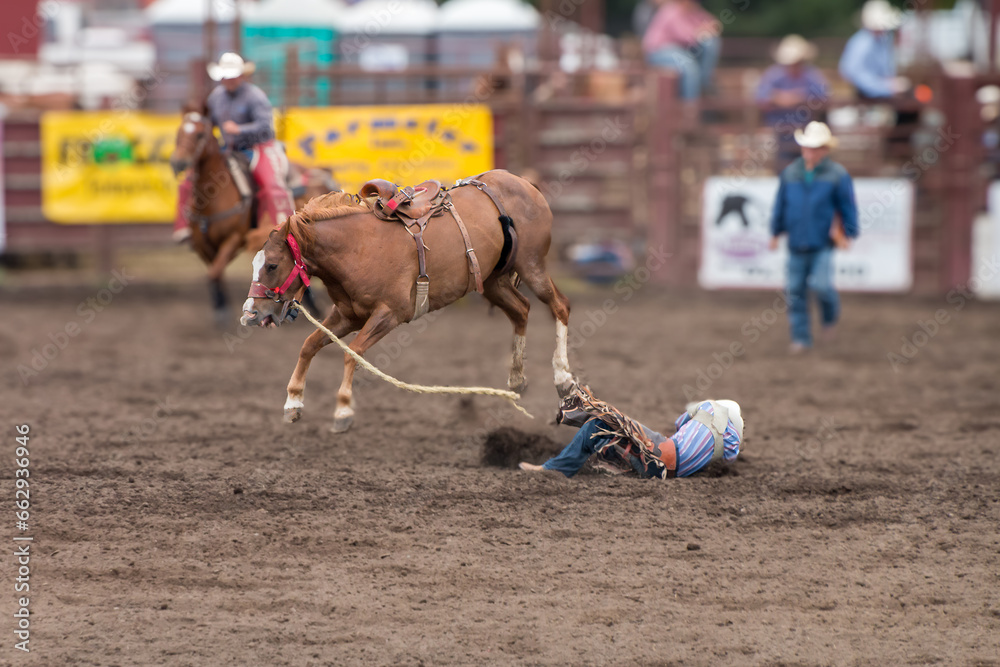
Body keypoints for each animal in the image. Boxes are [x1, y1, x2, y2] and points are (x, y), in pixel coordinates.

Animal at [169, 103, 332, 321]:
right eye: (179, 132)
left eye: (200, 134)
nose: (178, 163)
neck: (214, 194)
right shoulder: (203, 245)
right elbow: (215, 273)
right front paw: (221, 307)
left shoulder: (235, 238)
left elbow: (215, 271)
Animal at [239, 169, 573, 433]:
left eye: (272, 265)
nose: (250, 314)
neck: (357, 247)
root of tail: (525, 183)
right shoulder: (348, 315)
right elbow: (309, 345)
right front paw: (293, 403)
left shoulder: (389, 314)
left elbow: (352, 354)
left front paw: (343, 410)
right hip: (493, 281)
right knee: (521, 311)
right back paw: (516, 379)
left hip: (532, 266)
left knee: (560, 306)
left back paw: (563, 379)